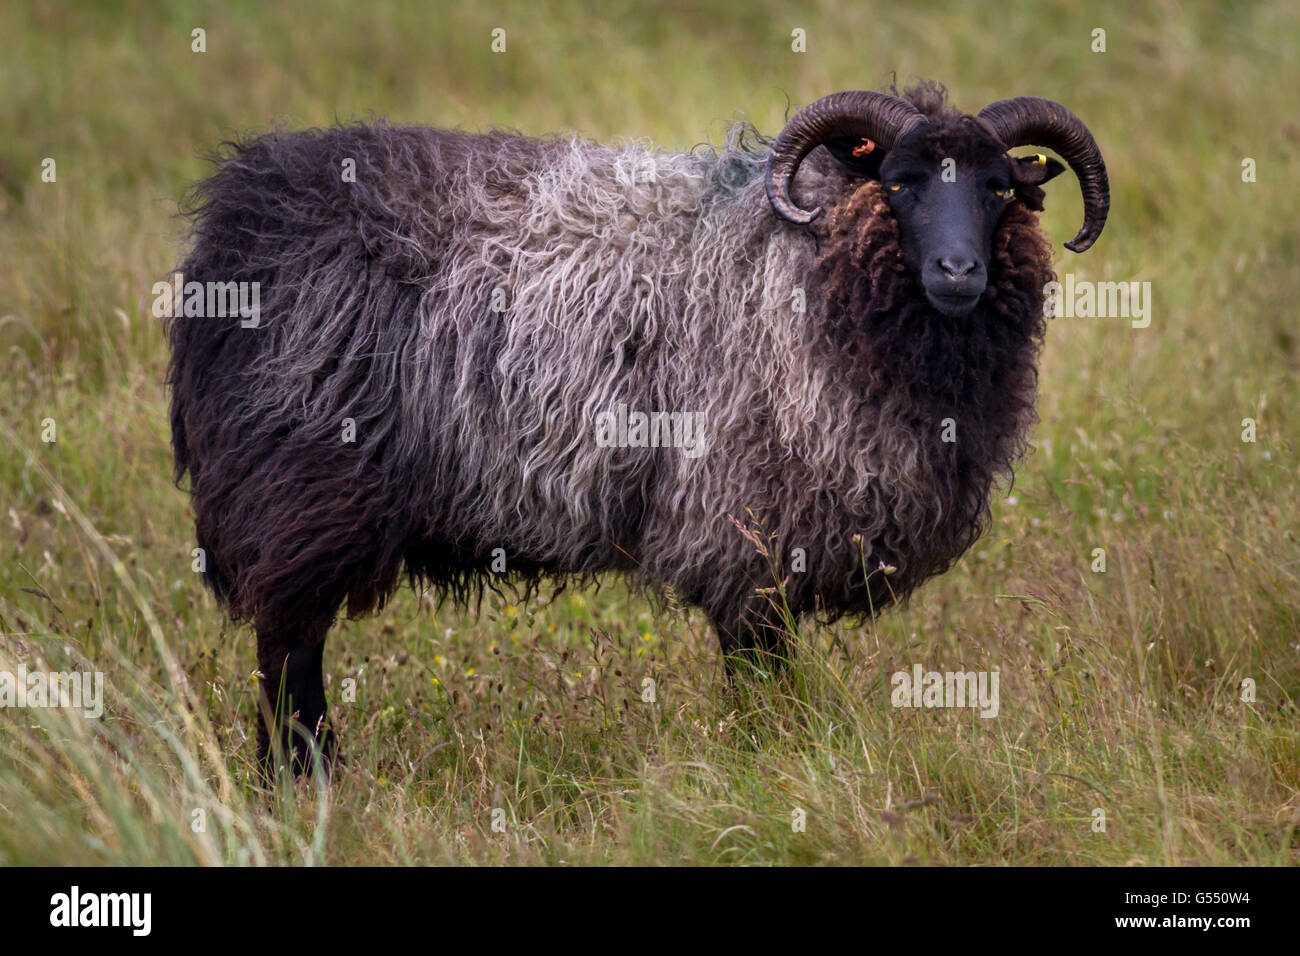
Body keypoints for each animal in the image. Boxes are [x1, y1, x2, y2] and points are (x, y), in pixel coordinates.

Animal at [167, 81, 1108, 776]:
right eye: (901, 182)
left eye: (998, 188)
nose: (958, 270)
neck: (812, 270)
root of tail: (238, 221)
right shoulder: (742, 522)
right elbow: (759, 668)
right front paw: (773, 763)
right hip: (299, 487)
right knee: (290, 649)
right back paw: (306, 784)